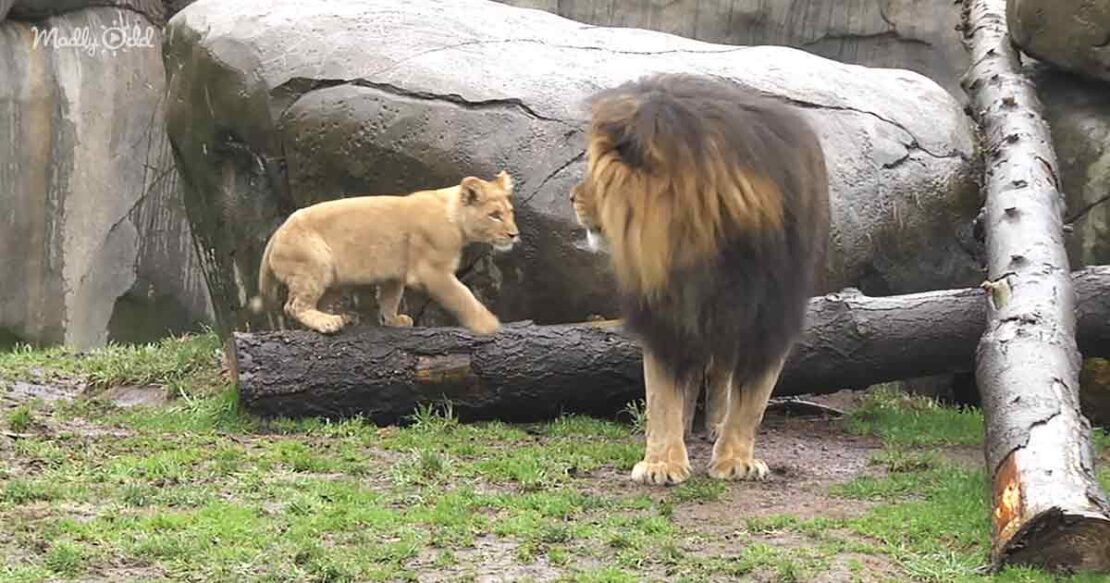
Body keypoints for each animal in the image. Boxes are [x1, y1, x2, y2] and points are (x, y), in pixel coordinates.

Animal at [251, 171, 519, 336]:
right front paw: (488, 325)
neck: (453, 215)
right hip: (315, 264)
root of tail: (277, 233)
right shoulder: (432, 271)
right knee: (294, 305)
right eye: (495, 215)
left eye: (510, 212)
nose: (514, 234)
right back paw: (328, 322)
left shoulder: (394, 275)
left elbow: (390, 298)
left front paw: (394, 321)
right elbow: (463, 296)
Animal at [570, 74, 829, 485]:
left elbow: (753, 400)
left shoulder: (772, 314)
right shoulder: (664, 311)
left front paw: (735, 460)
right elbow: (662, 393)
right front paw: (662, 464)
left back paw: (715, 426)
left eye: (595, 171)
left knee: (722, 370)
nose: (571, 197)